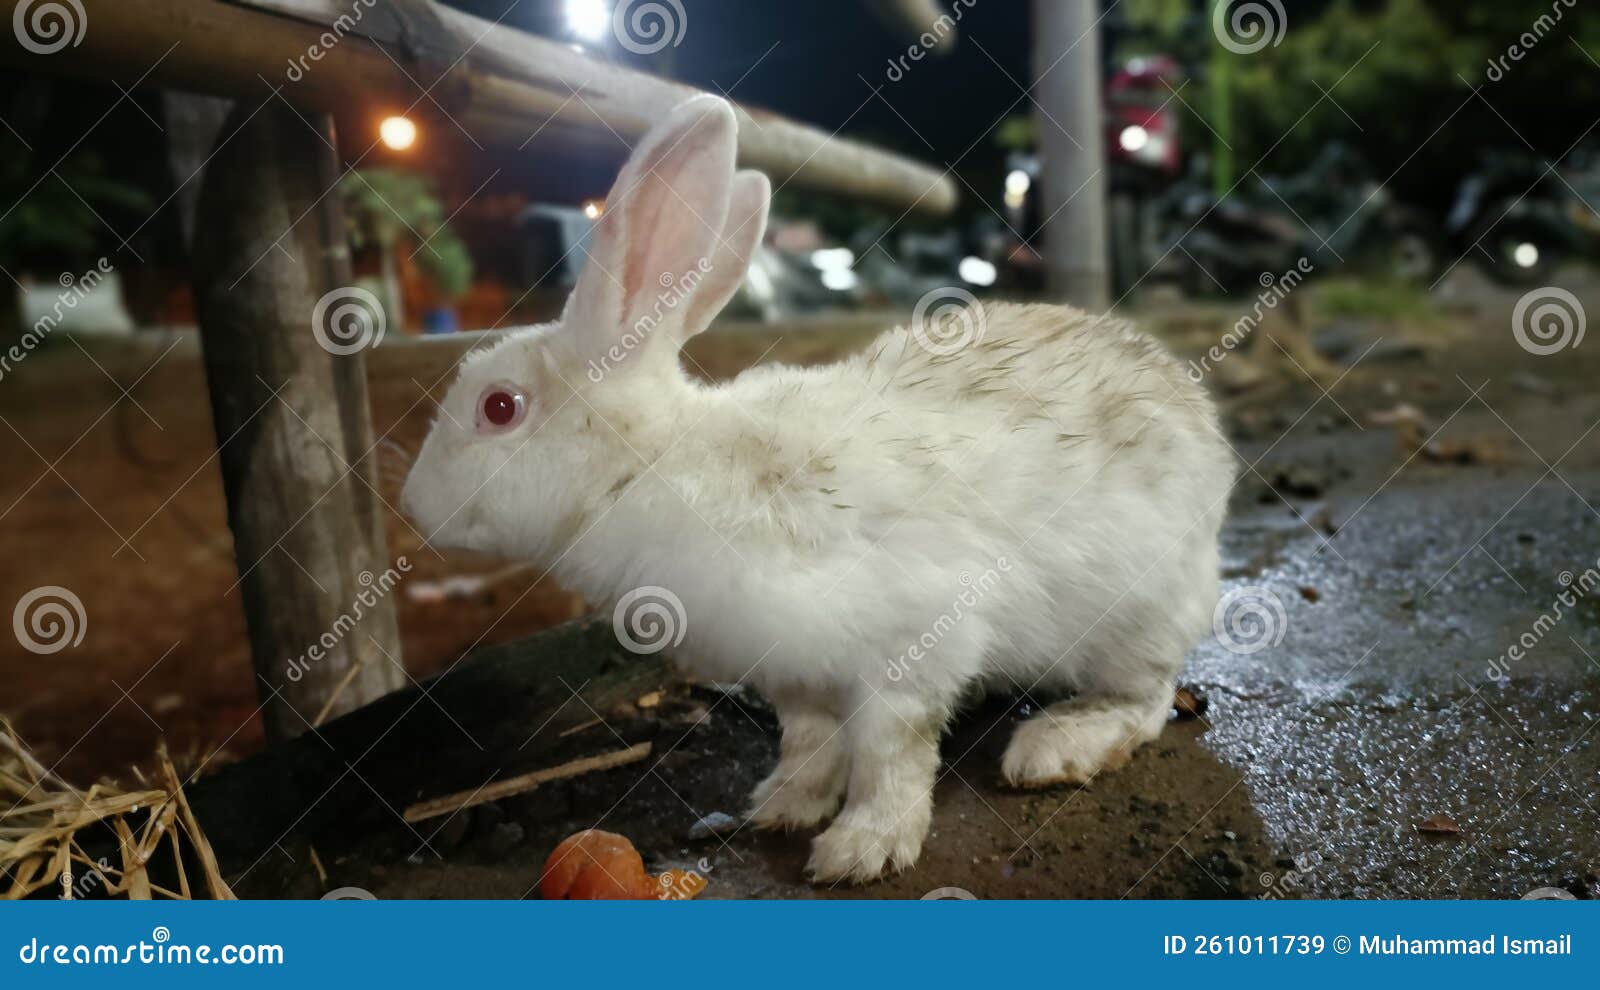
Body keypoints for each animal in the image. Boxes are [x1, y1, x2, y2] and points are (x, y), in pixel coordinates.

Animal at [401, 95, 1236, 884]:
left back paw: (1057, 746)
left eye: (498, 408)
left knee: (1147, 701)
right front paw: (783, 805)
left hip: (1134, 620)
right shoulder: (792, 677)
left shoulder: (912, 646)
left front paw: (863, 847)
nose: (413, 504)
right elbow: (810, 742)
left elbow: (892, 754)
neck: (653, 463)